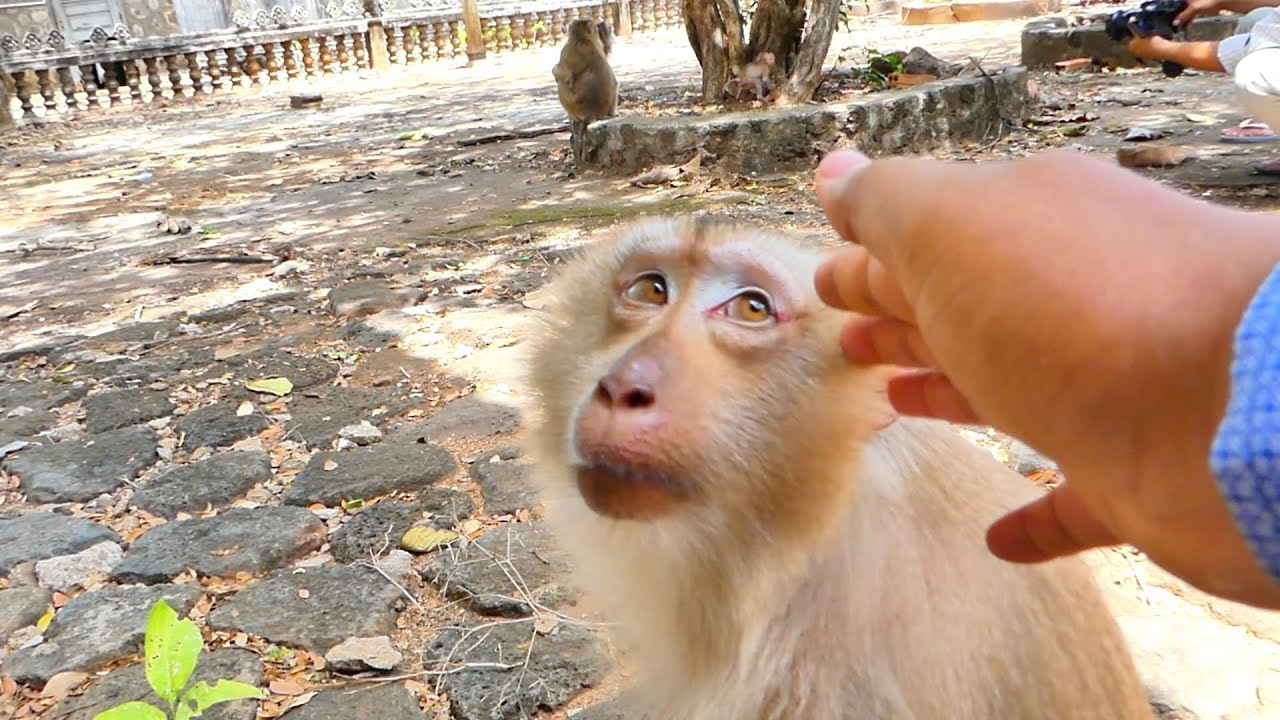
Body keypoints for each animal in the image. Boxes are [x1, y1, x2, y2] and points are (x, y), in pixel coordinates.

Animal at [552, 19, 619, 169]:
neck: (582, 38)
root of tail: (589, 113)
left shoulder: (566, 50)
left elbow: (559, 73)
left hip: (569, 102)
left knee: (561, 84)